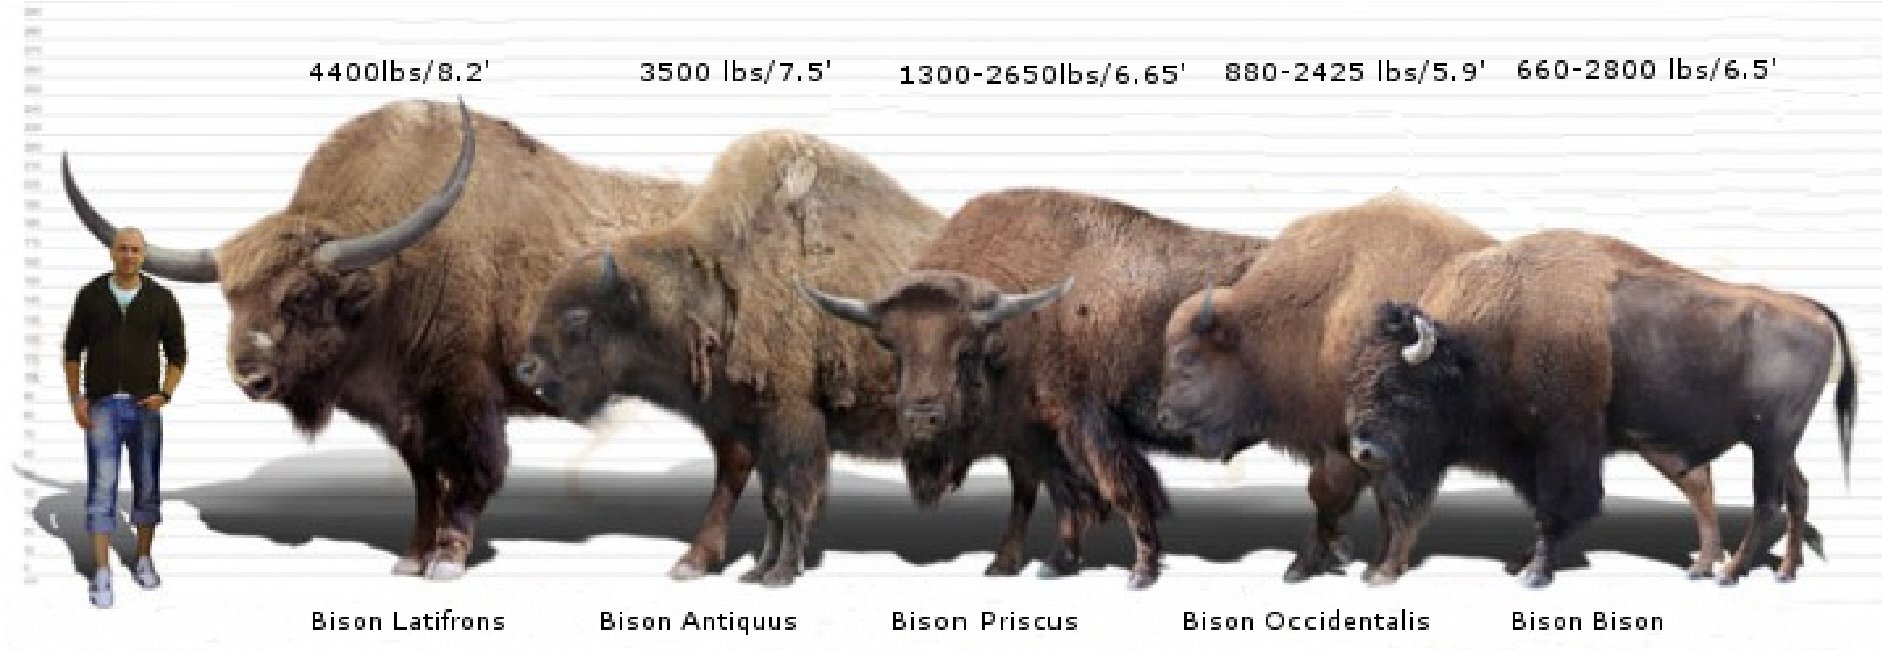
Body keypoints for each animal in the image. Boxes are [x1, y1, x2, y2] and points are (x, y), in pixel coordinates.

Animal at [62, 99, 693, 580]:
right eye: (232, 298)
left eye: (302, 296)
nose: (251, 377)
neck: (393, 278)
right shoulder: (406, 414)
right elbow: (425, 482)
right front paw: (410, 558)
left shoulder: (465, 401)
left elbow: (472, 475)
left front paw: (446, 561)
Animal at [804, 188, 1270, 589]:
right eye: (893, 349)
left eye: (966, 351)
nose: (922, 418)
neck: (1018, 325)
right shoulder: (1033, 438)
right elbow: (1050, 496)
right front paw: (1041, 565)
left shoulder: (1083, 423)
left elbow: (1121, 488)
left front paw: (1141, 572)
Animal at [1345, 230, 1855, 587]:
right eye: (1356, 382)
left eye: (1399, 387)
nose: (1364, 451)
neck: (1477, 352)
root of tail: (1811, 310)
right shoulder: (1528, 455)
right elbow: (1542, 507)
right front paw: (1521, 561)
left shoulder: (1563, 445)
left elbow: (1559, 507)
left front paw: (1535, 572)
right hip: (1781, 446)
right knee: (1797, 490)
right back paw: (1780, 570)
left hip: (1768, 443)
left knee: (1767, 500)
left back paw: (1730, 573)